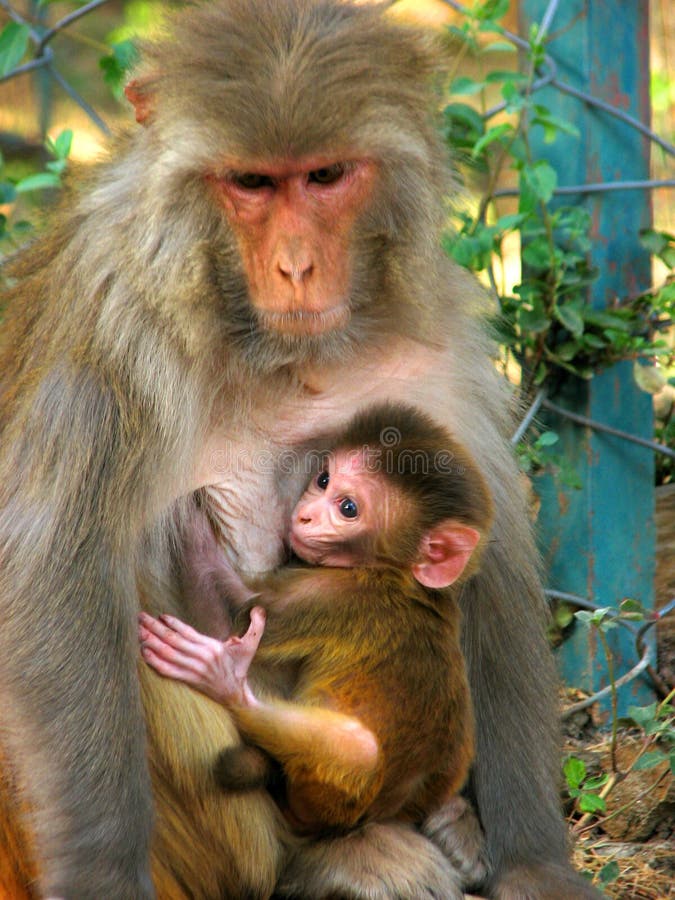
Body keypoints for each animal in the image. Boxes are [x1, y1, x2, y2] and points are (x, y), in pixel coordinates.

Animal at [139, 403, 490, 853]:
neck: (395, 574)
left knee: (358, 751)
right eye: (322, 480)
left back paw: (228, 682)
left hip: (331, 798)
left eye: (348, 508)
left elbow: (240, 616)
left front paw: (189, 514)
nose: (304, 514)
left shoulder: (336, 597)